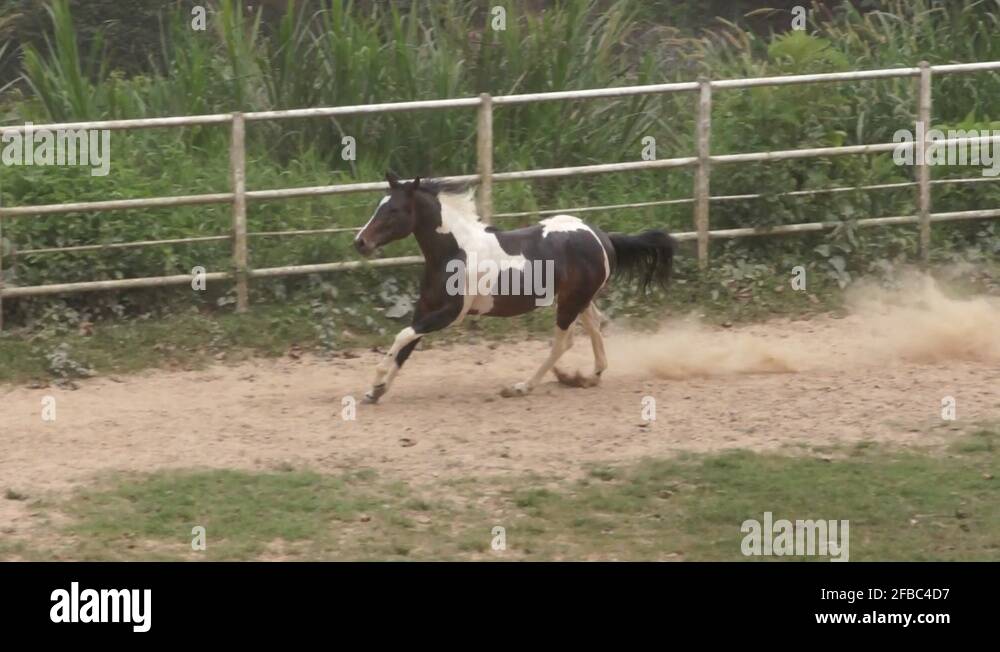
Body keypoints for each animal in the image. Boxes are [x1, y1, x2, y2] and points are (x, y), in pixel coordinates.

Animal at [353, 172, 675, 403]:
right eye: (378, 207)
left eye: (394, 210)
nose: (360, 241)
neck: (454, 251)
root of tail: (602, 237)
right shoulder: (425, 308)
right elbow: (406, 346)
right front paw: (375, 391)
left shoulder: (450, 314)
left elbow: (402, 336)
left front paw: (377, 380)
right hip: (579, 298)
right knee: (595, 323)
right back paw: (590, 376)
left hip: (570, 302)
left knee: (563, 342)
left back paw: (521, 387)